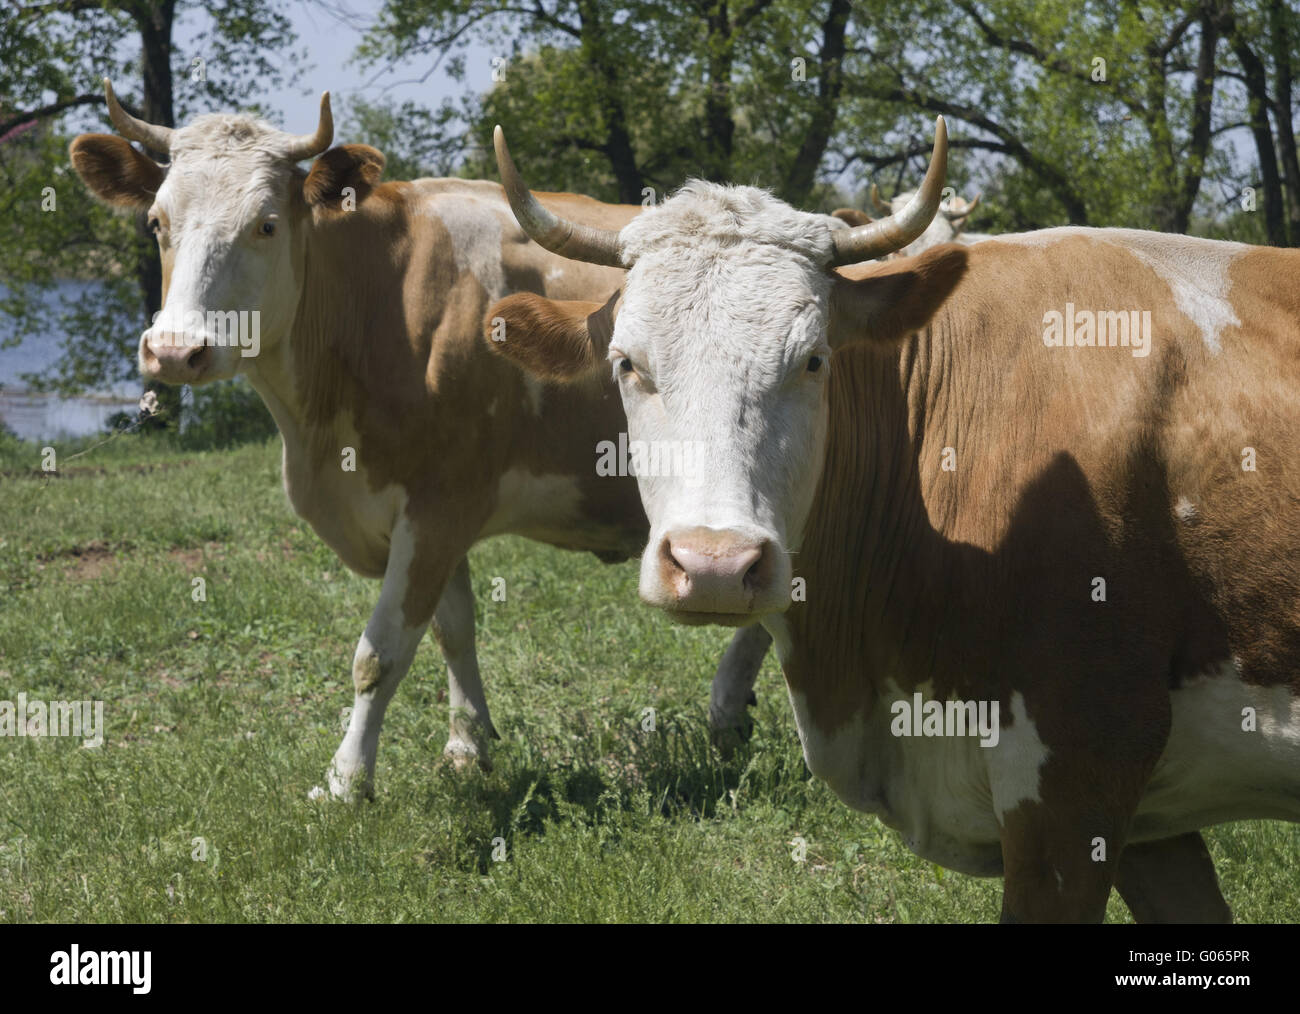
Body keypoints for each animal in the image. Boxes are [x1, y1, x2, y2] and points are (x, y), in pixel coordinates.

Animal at [68, 80, 770, 800]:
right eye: (157, 223)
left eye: (265, 224)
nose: (175, 351)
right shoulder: (432, 512)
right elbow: (453, 629)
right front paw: (468, 744)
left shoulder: (440, 506)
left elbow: (379, 654)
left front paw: (346, 781)